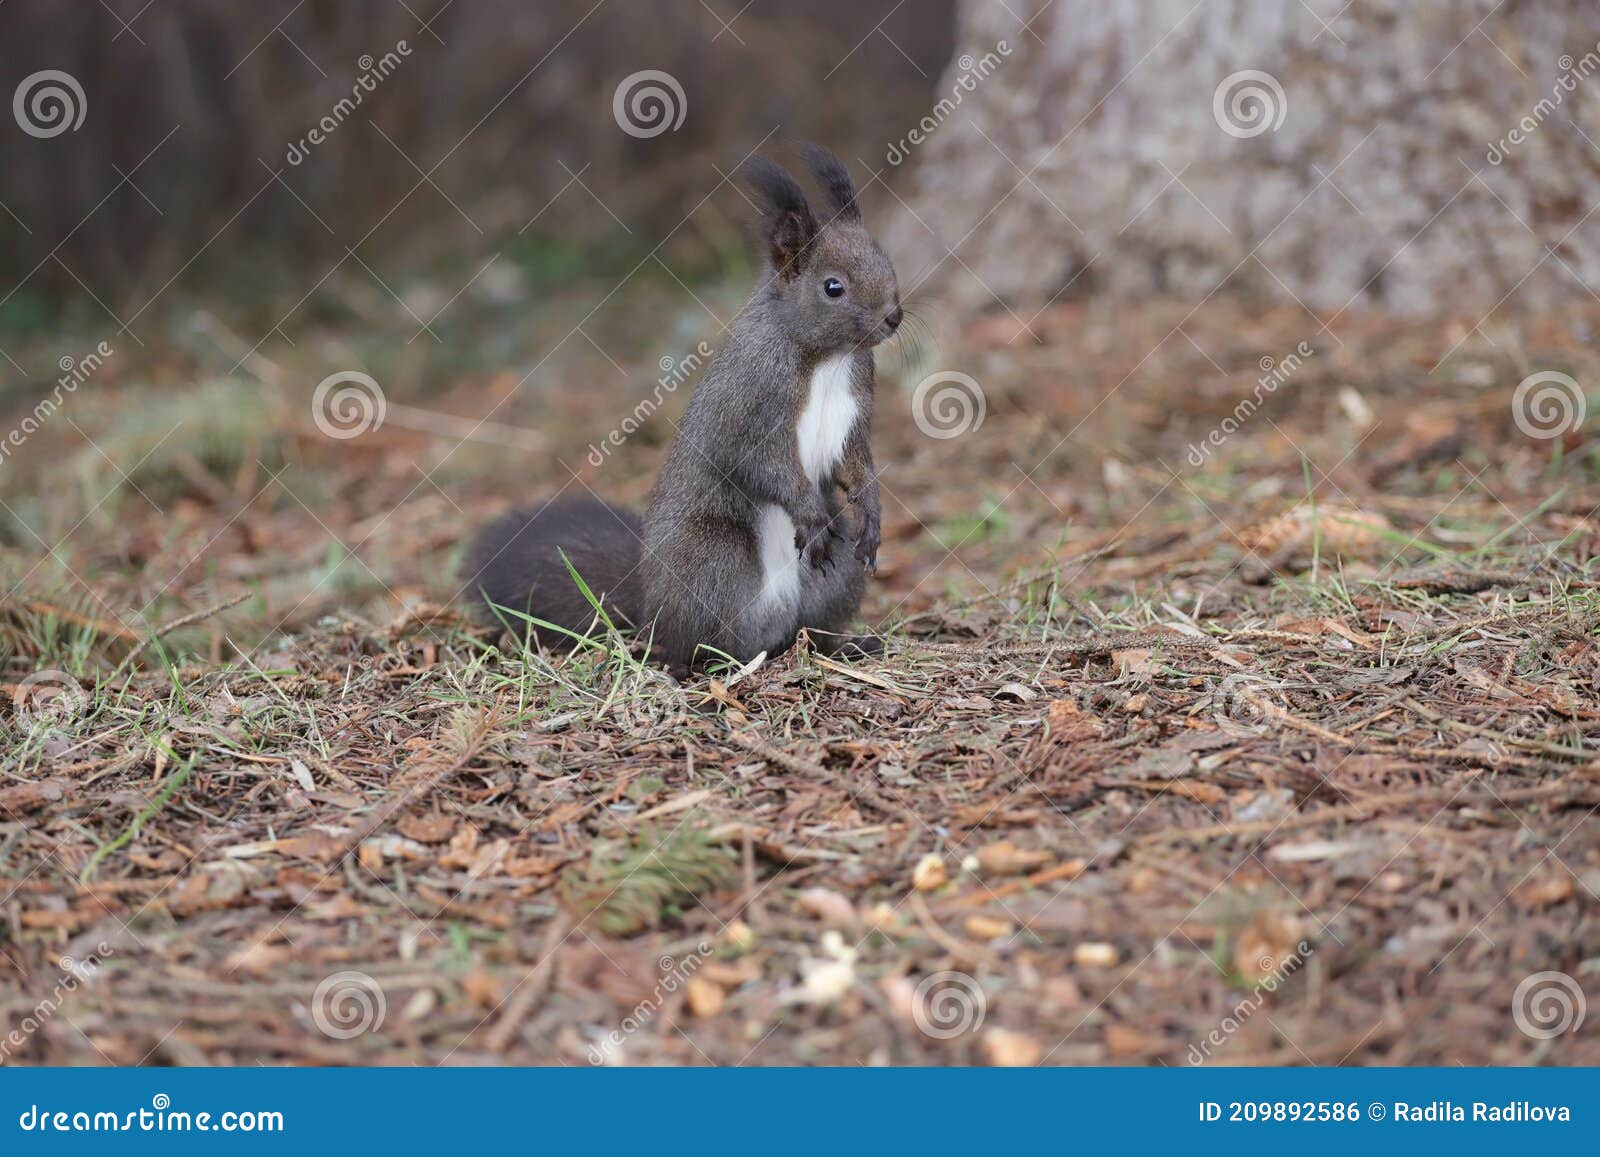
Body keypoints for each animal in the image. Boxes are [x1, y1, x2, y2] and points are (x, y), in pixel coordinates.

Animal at [461, 145, 901, 676]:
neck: (827, 358)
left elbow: (857, 464)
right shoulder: (750, 406)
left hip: (833, 581)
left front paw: (872, 515)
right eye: (833, 287)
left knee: (811, 626)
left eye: (886, 259)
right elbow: (763, 465)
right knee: (692, 641)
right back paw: (705, 665)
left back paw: (842, 646)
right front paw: (811, 516)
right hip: (712, 559)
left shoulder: (854, 411)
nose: (894, 316)